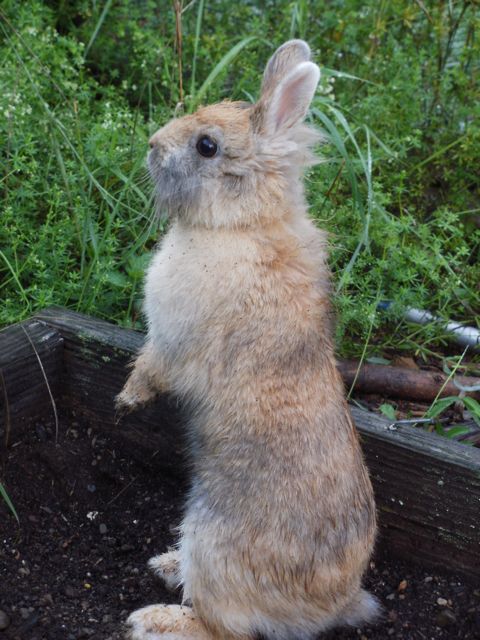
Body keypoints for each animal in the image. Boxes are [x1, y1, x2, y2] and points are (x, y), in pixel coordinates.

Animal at [116, 39, 379, 640]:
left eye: (207, 146)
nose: (151, 145)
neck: (240, 225)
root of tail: (335, 605)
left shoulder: (172, 341)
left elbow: (152, 366)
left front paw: (127, 400)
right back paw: (166, 566)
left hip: (213, 542)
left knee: (223, 627)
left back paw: (154, 619)